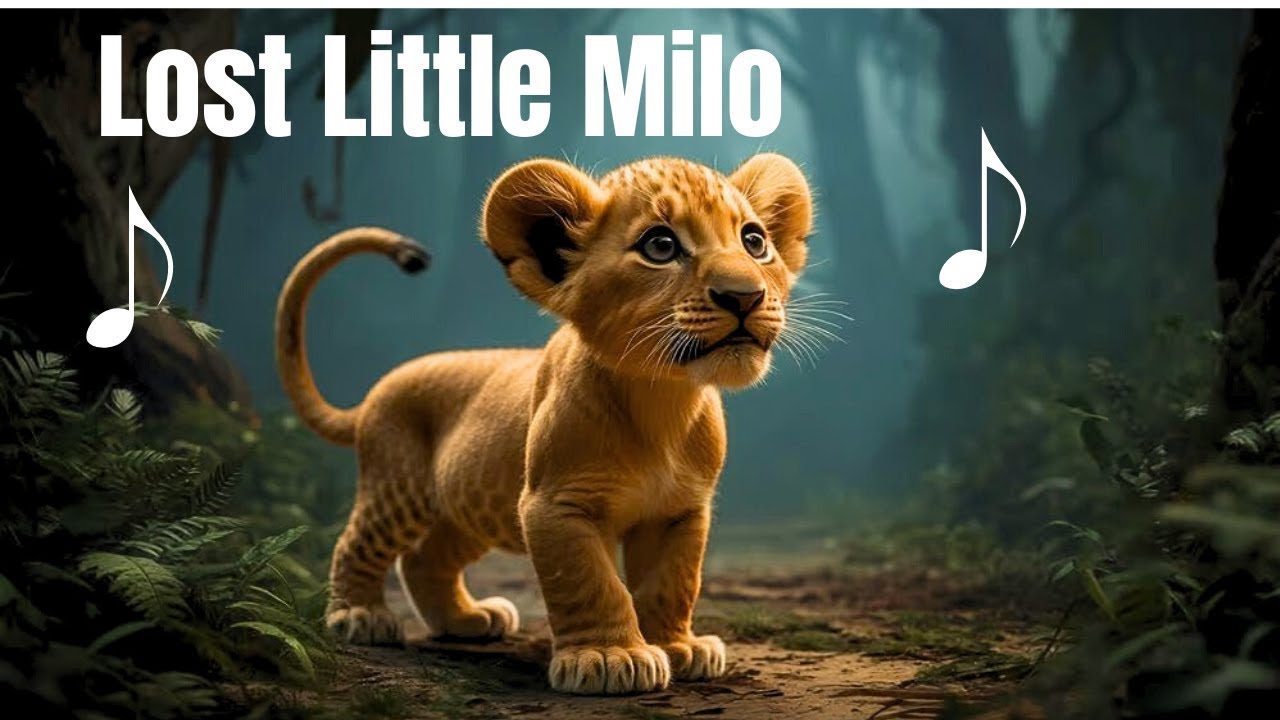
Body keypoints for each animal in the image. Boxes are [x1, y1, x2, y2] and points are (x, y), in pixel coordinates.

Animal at [274, 153, 813, 694]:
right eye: (660, 246)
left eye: (754, 241)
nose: (744, 295)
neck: (660, 398)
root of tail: (373, 395)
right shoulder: (555, 505)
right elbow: (591, 582)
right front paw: (610, 657)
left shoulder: (679, 511)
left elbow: (673, 583)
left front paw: (678, 647)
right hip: (397, 487)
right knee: (357, 545)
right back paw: (360, 616)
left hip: (468, 507)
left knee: (426, 558)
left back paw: (468, 620)